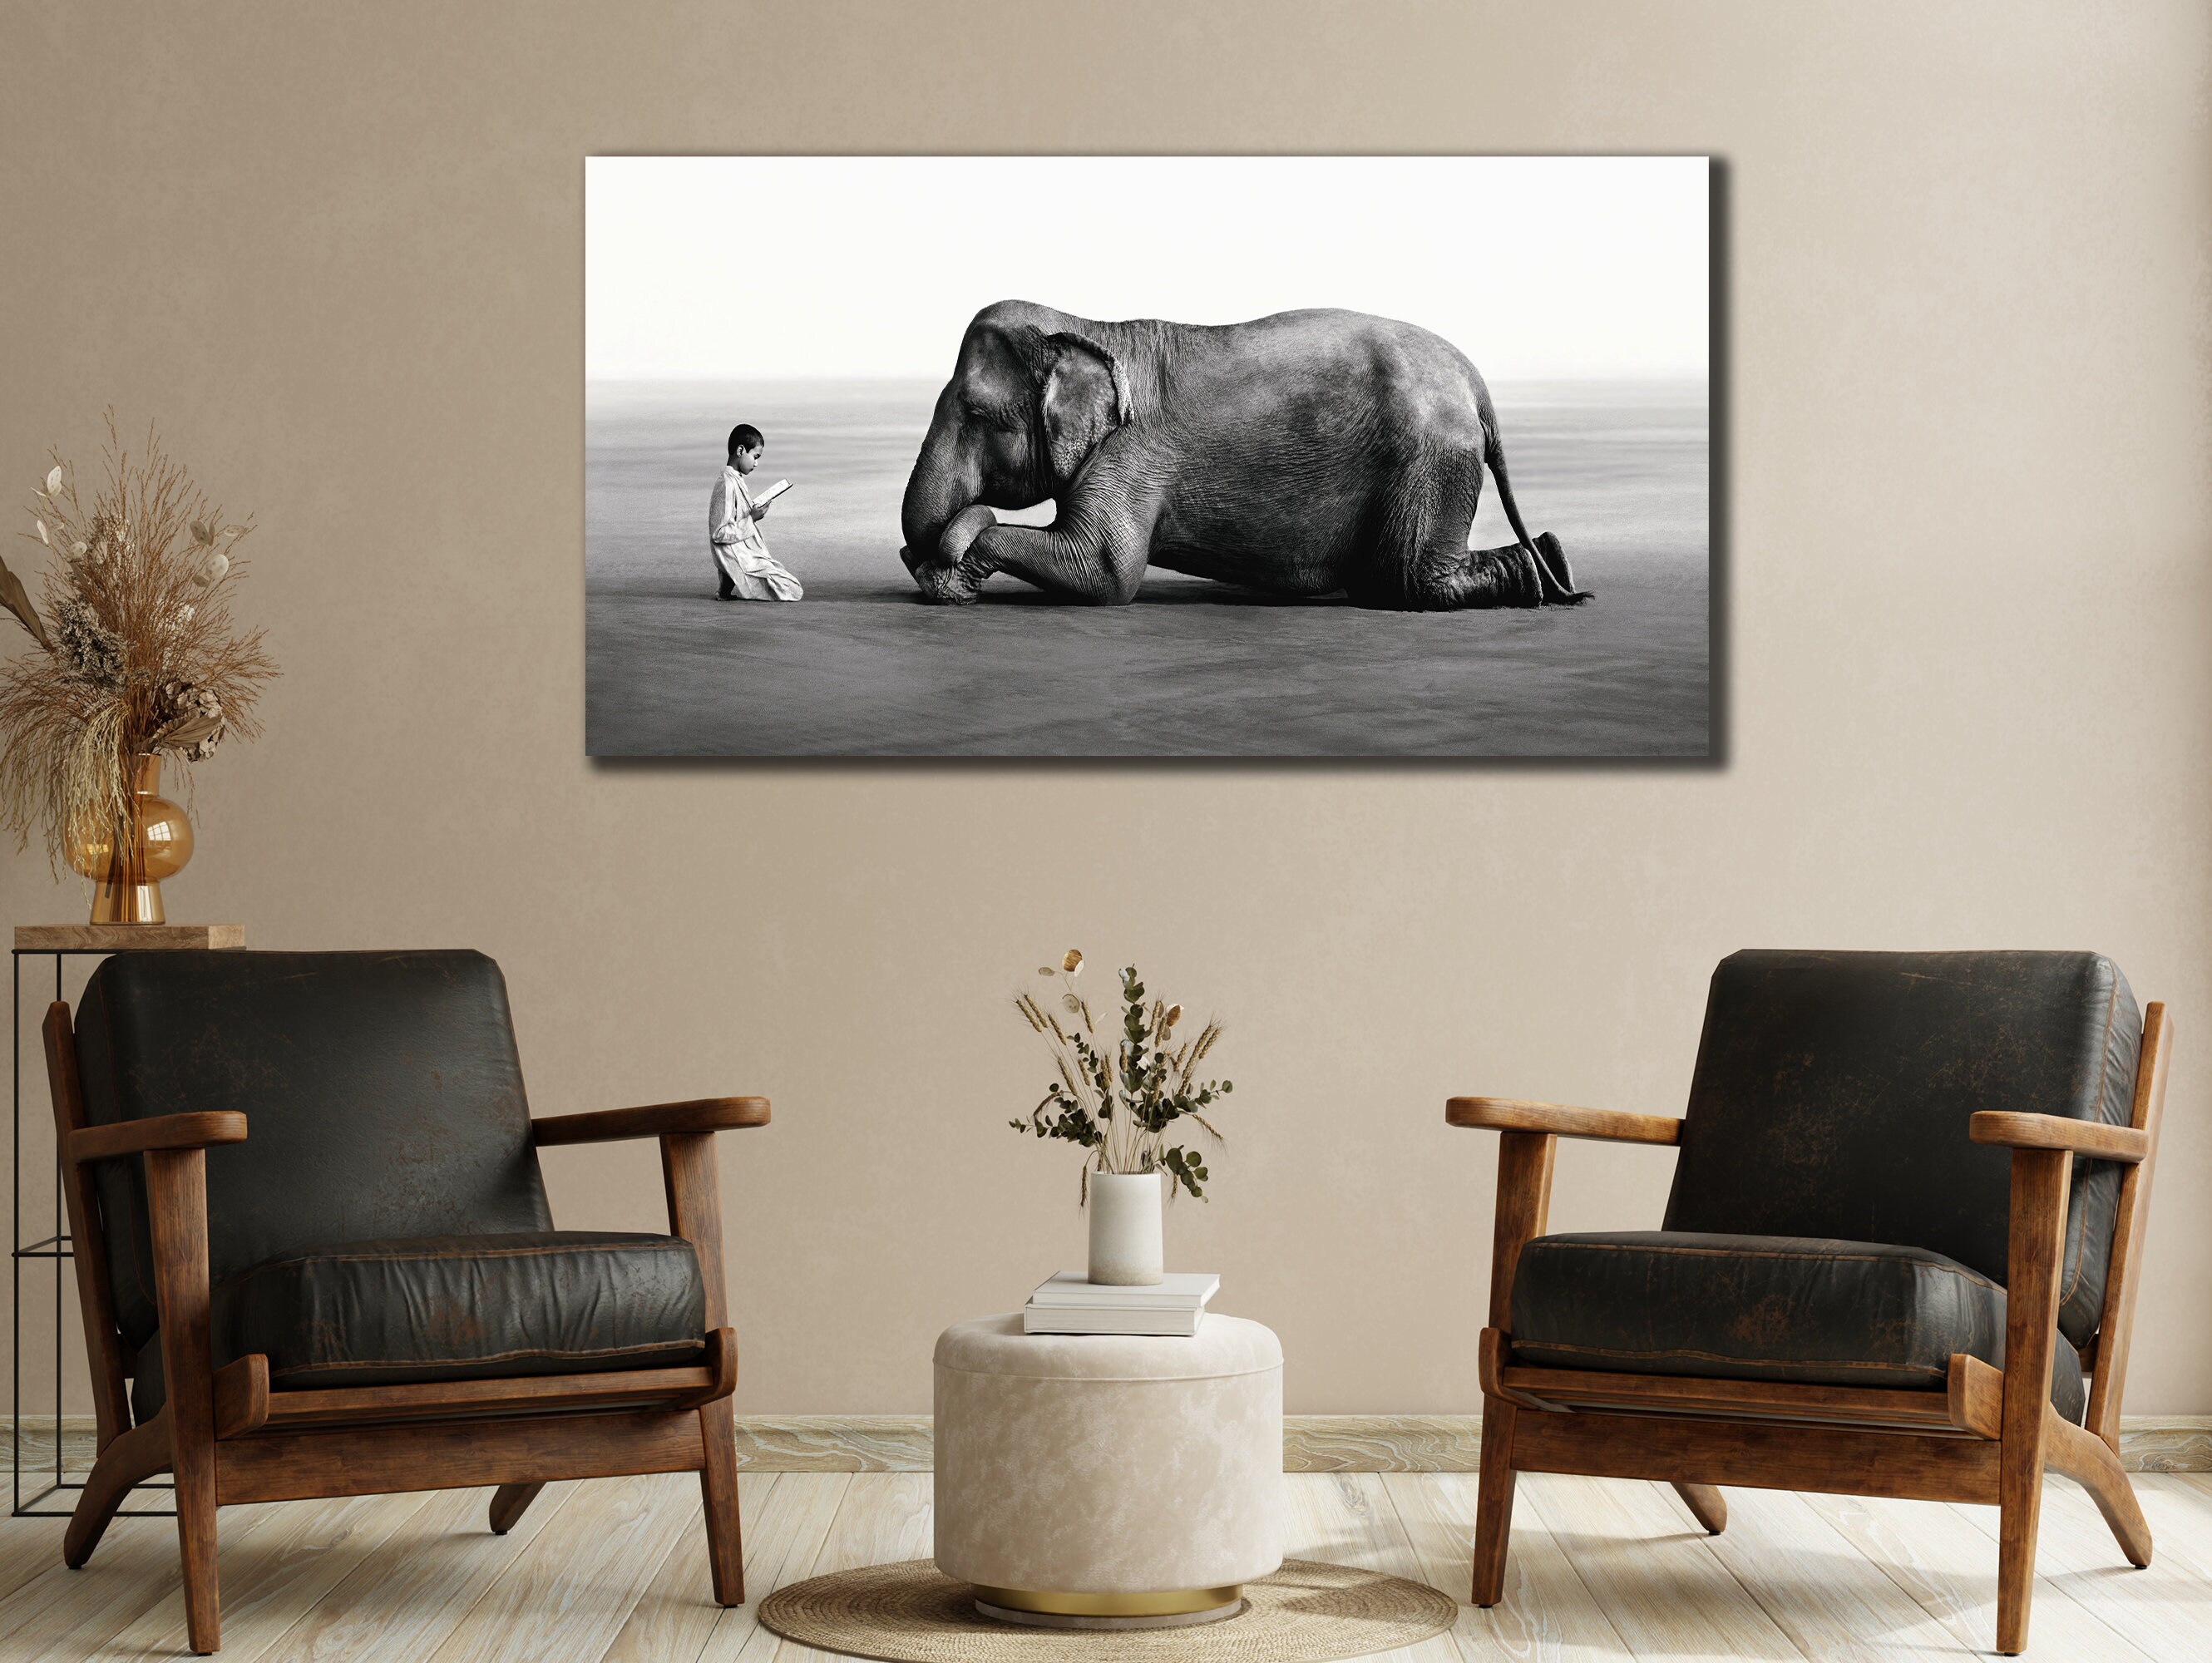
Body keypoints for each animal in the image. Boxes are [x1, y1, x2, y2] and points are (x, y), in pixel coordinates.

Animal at [898, 300, 1587, 610]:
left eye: (976, 413)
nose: (918, 550)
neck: (1088, 328)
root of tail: (1476, 385)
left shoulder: (1133, 453)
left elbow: (1105, 573)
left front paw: (950, 570)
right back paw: (1554, 565)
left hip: (1430, 455)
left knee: (1405, 581)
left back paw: (1543, 574)